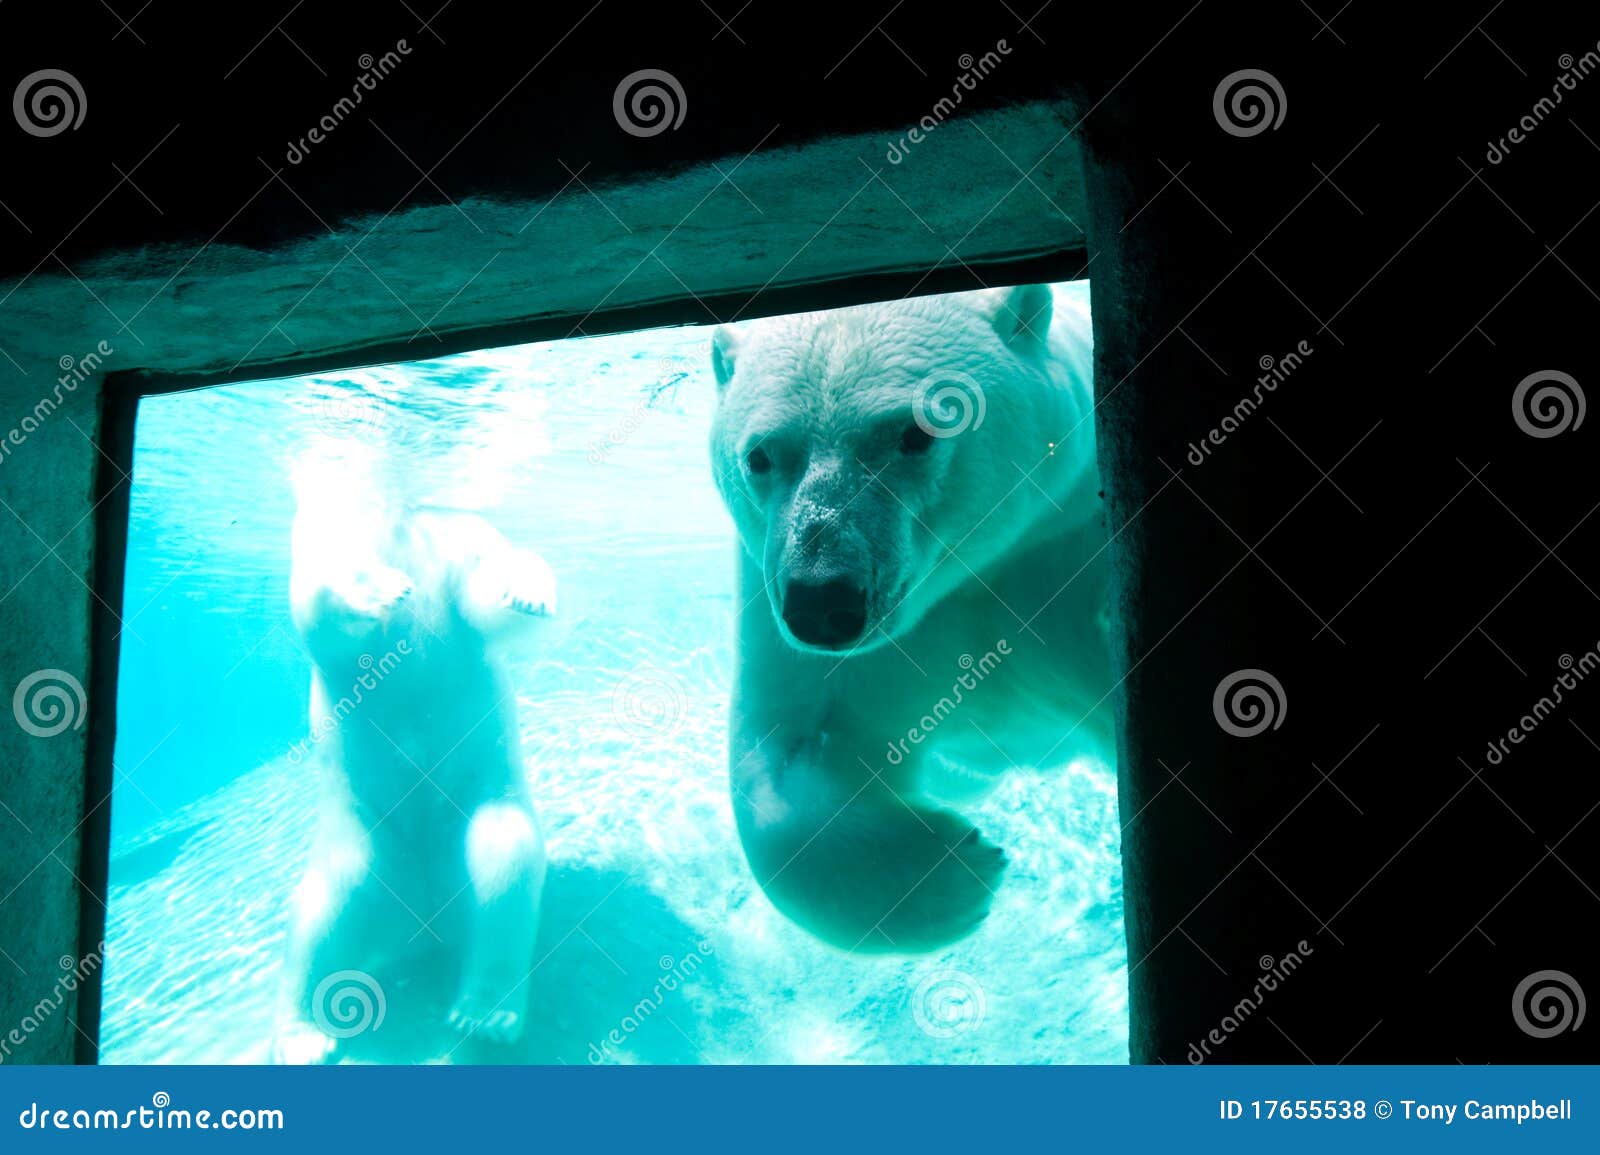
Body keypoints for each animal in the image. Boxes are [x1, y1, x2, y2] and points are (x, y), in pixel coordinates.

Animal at [274, 440, 555, 1062]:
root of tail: (424, 922)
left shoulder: (457, 540)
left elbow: (483, 595)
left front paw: (528, 589)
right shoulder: (321, 543)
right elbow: (317, 609)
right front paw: (377, 588)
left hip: (477, 800)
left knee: (504, 861)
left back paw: (484, 1013)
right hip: (362, 827)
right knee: (331, 898)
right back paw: (307, 1033)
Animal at [707, 281, 1112, 953]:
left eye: (918, 434)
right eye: (760, 456)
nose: (825, 604)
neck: (973, 572)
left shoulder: (1061, 557)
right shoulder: (803, 626)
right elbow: (787, 747)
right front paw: (955, 875)